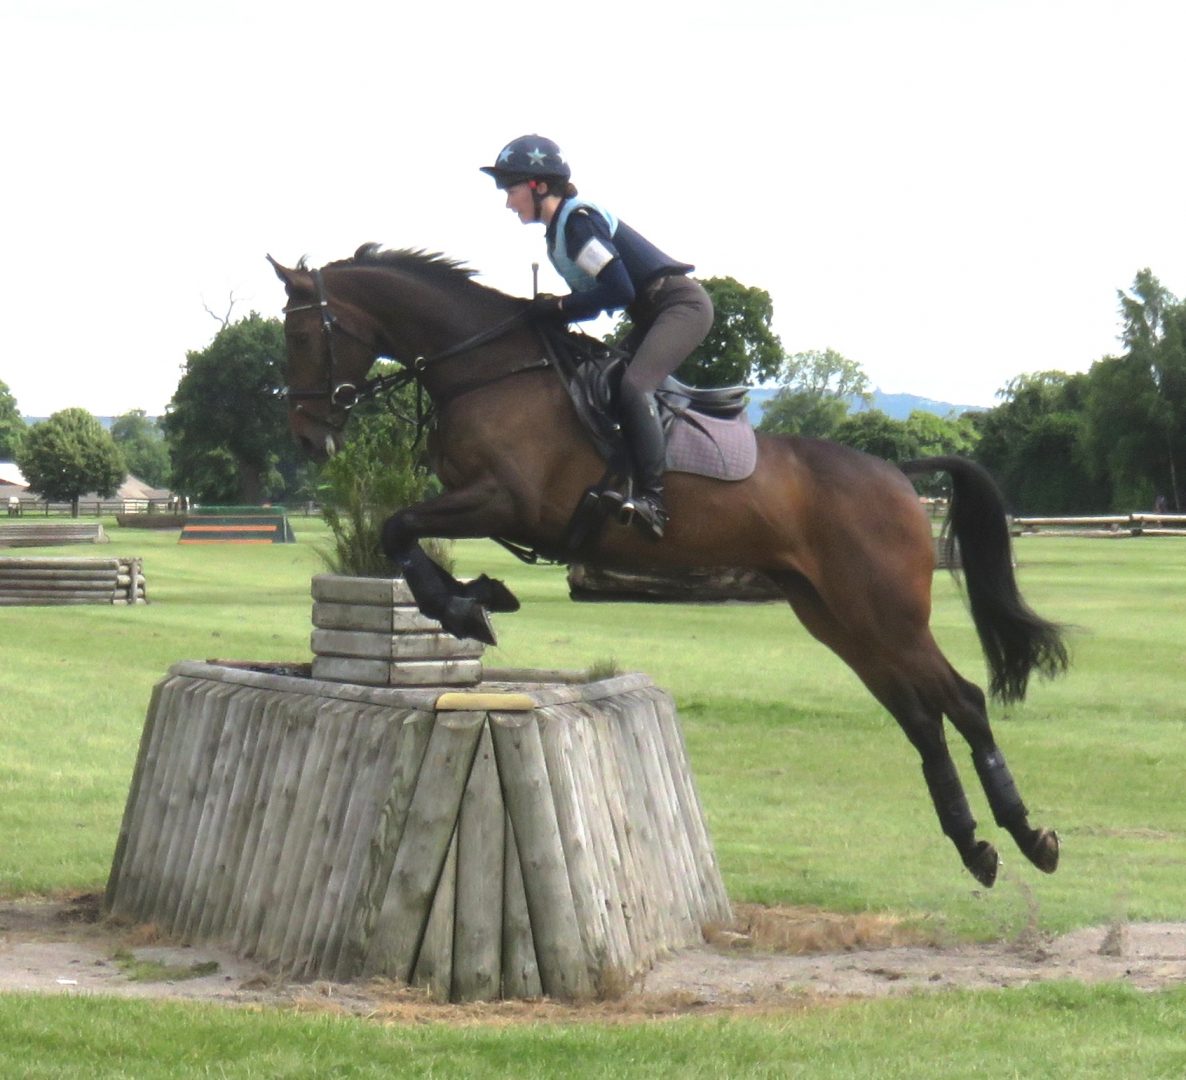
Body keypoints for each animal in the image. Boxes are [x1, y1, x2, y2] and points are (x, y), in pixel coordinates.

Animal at [270, 244, 1069, 888]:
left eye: (304, 333)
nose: (306, 437)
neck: (487, 370)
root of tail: (900, 475)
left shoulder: (504, 501)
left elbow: (398, 527)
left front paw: (468, 604)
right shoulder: (484, 506)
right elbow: (403, 535)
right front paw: (480, 595)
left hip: (888, 616)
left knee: (962, 700)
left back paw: (1028, 836)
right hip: (838, 620)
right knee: (920, 717)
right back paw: (973, 846)